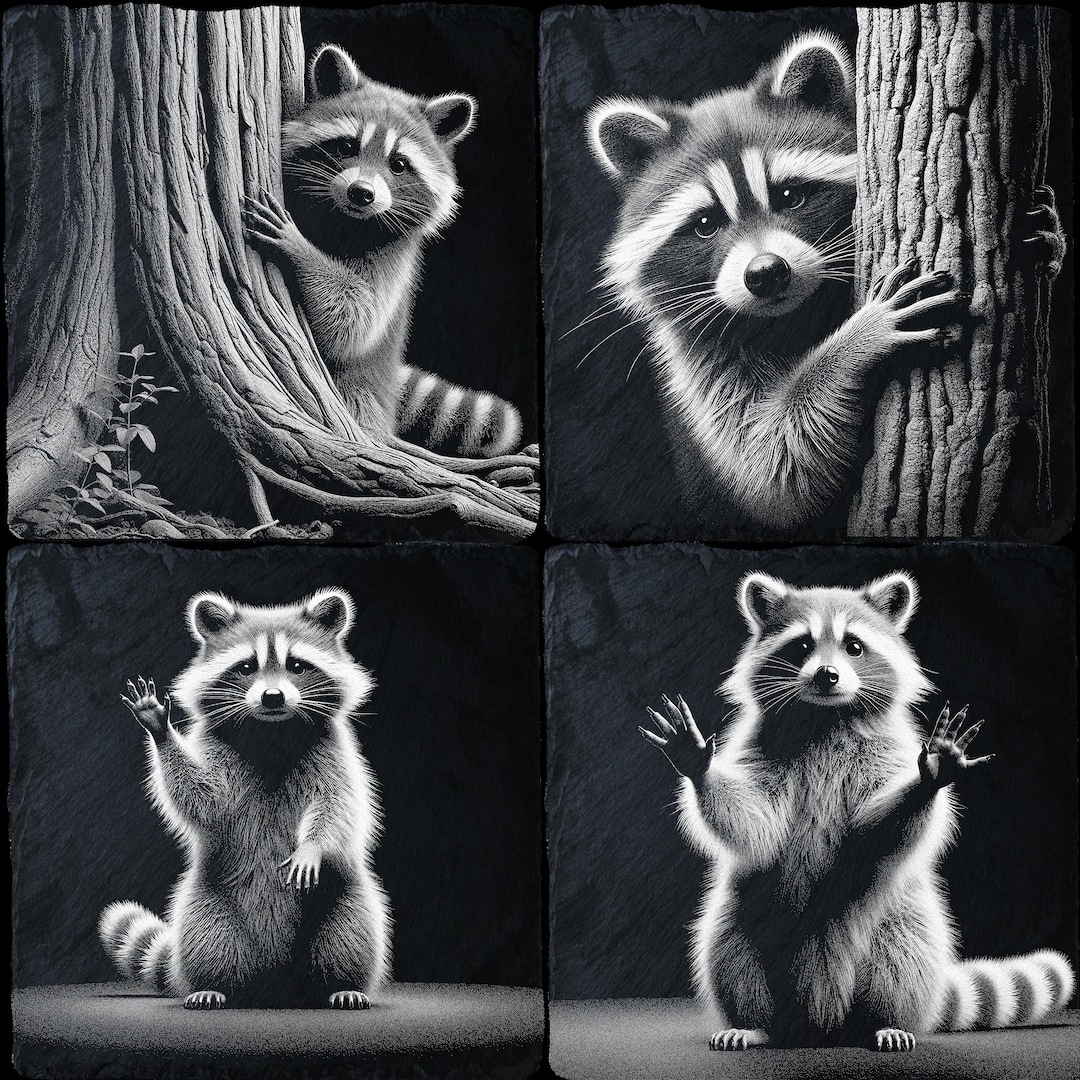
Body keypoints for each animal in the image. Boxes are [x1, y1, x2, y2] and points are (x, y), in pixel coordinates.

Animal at [100, 588, 391, 1010]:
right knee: (207, 936)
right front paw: (160, 729)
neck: (271, 731)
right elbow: (203, 798)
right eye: (247, 666)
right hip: (207, 900)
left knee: (351, 931)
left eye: (297, 665)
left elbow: (338, 806)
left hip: (347, 893)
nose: (272, 697)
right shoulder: (217, 750)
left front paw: (313, 846)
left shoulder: (336, 753)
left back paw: (343, 984)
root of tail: (275, 983)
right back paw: (211, 985)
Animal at [243, 44, 522, 458]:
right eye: (346, 146)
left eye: (399, 164)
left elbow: (354, 318)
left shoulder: (395, 261)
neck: (346, 220)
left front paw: (300, 249)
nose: (362, 193)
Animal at [586, 32, 960, 528]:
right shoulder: (699, 366)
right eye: (705, 224)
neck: (791, 317)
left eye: (790, 196)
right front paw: (855, 343)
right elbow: (775, 470)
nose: (765, 273)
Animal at [642, 572, 1075, 1050]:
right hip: (740, 914)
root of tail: (818, 1023)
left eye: (853, 646)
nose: (827, 675)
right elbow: (758, 825)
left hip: (901, 915)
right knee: (728, 951)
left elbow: (874, 833)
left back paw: (886, 1021)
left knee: (901, 956)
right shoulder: (758, 752)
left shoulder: (887, 753)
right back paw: (753, 1023)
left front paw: (929, 779)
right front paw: (699, 766)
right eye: (803, 645)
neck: (825, 718)